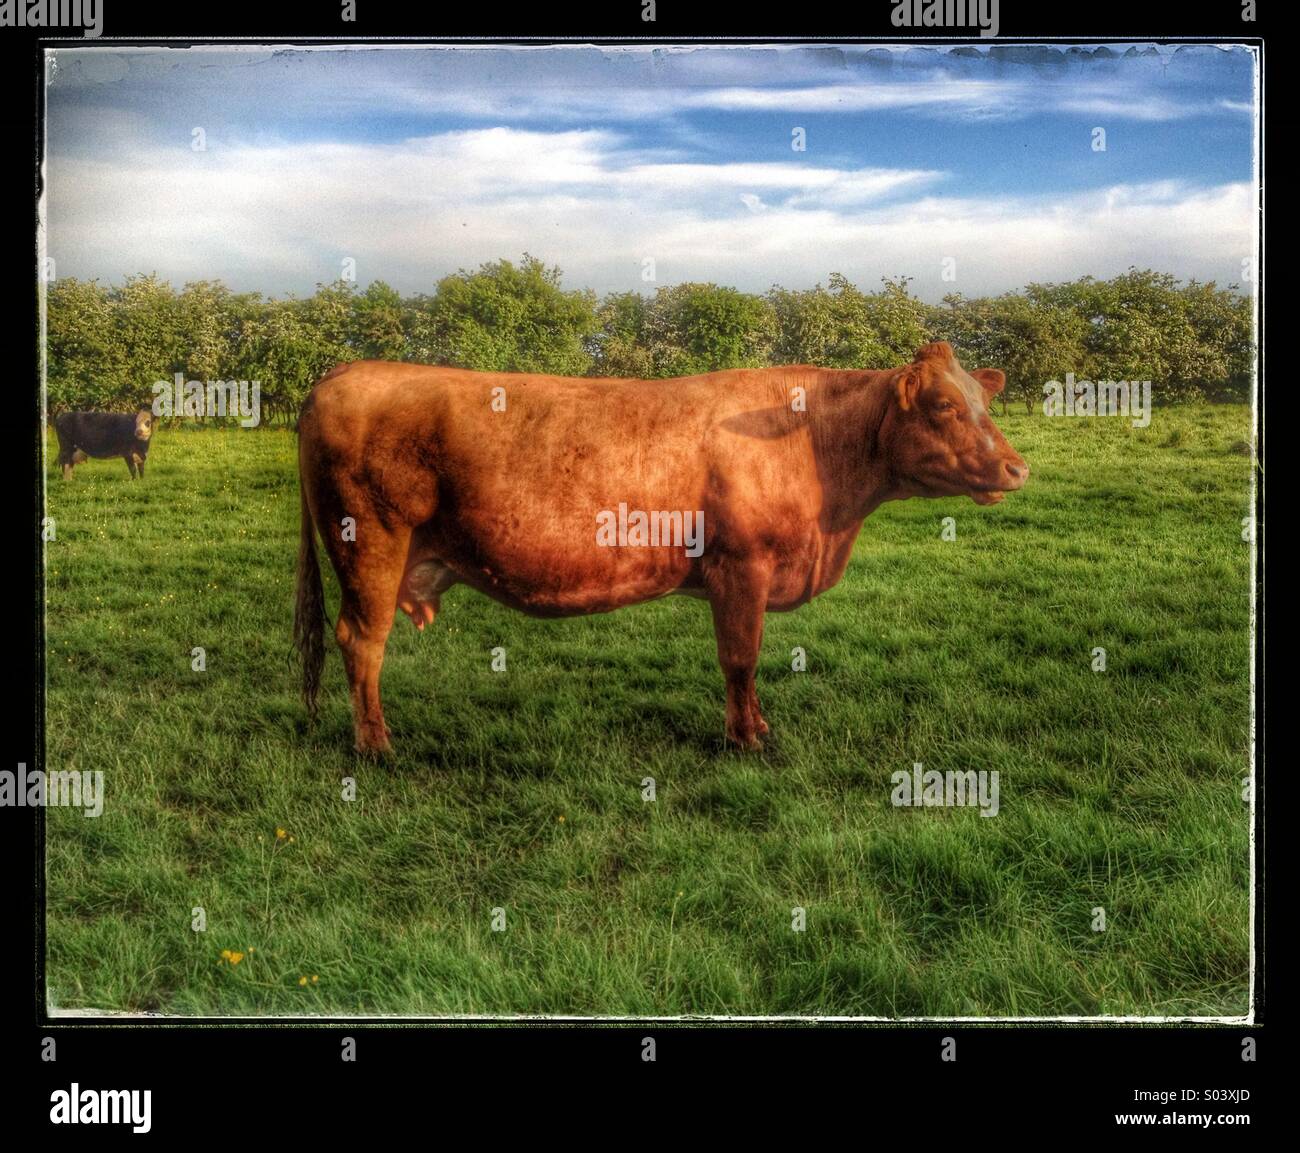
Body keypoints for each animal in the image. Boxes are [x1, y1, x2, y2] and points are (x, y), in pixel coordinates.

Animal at [293, 341, 1027, 753]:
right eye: (942, 406)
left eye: (983, 402)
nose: (1016, 468)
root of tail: (341, 373)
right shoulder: (741, 567)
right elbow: (741, 659)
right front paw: (746, 738)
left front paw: (753, 729)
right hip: (371, 547)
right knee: (362, 640)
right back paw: (377, 745)